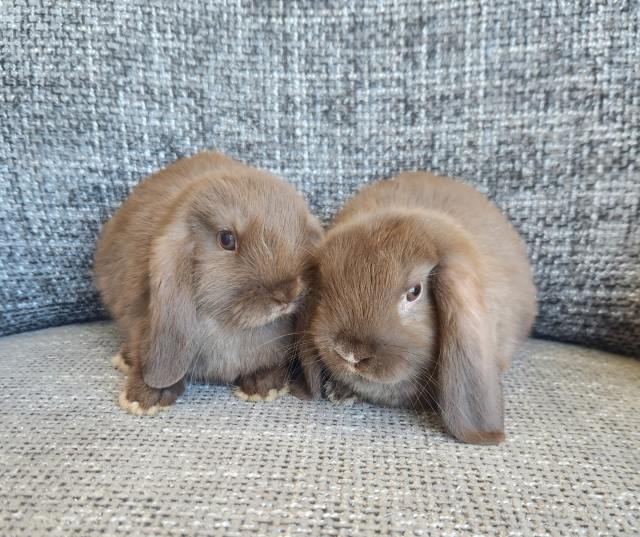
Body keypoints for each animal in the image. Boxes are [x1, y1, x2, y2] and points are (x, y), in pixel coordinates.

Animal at [95, 151, 322, 415]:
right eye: (226, 239)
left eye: (300, 237)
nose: (287, 293)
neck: (231, 327)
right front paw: (144, 397)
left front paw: (263, 385)